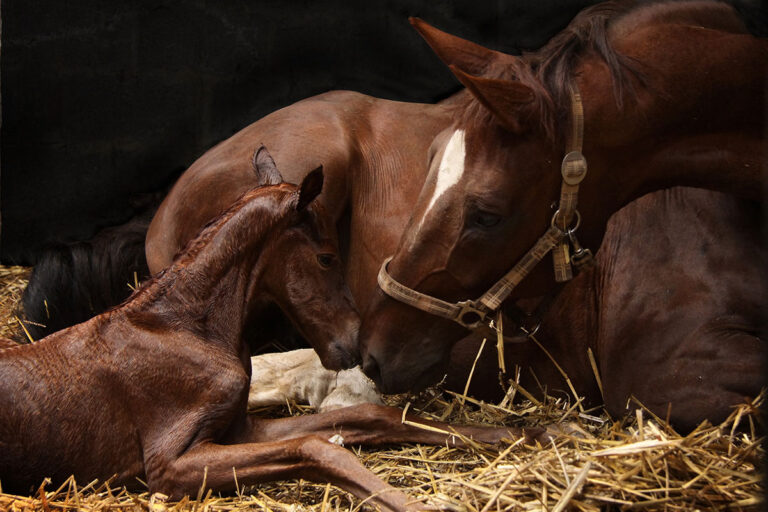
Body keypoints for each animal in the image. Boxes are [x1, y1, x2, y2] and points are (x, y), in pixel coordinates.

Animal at [1, 149, 537, 511]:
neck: (183, 326)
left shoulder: (239, 429)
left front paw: (526, 432)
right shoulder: (169, 464)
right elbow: (316, 446)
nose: (354, 343)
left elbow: (370, 418)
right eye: (327, 257)